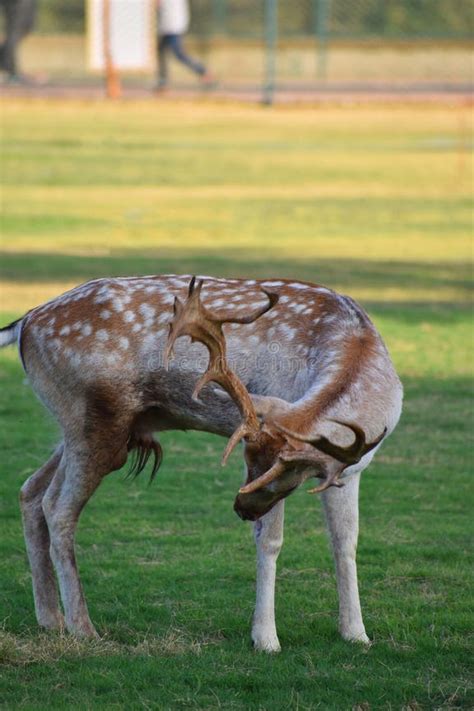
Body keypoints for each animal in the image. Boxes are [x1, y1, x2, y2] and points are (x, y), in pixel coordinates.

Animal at [0, 273, 402, 652]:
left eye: (291, 478)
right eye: (247, 461)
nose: (241, 508)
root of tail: (25, 323)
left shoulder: (350, 470)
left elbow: (345, 542)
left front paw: (356, 634)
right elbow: (271, 542)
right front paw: (265, 639)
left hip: (86, 428)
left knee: (30, 490)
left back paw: (51, 619)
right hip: (96, 422)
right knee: (58, 507)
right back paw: (83, 628)